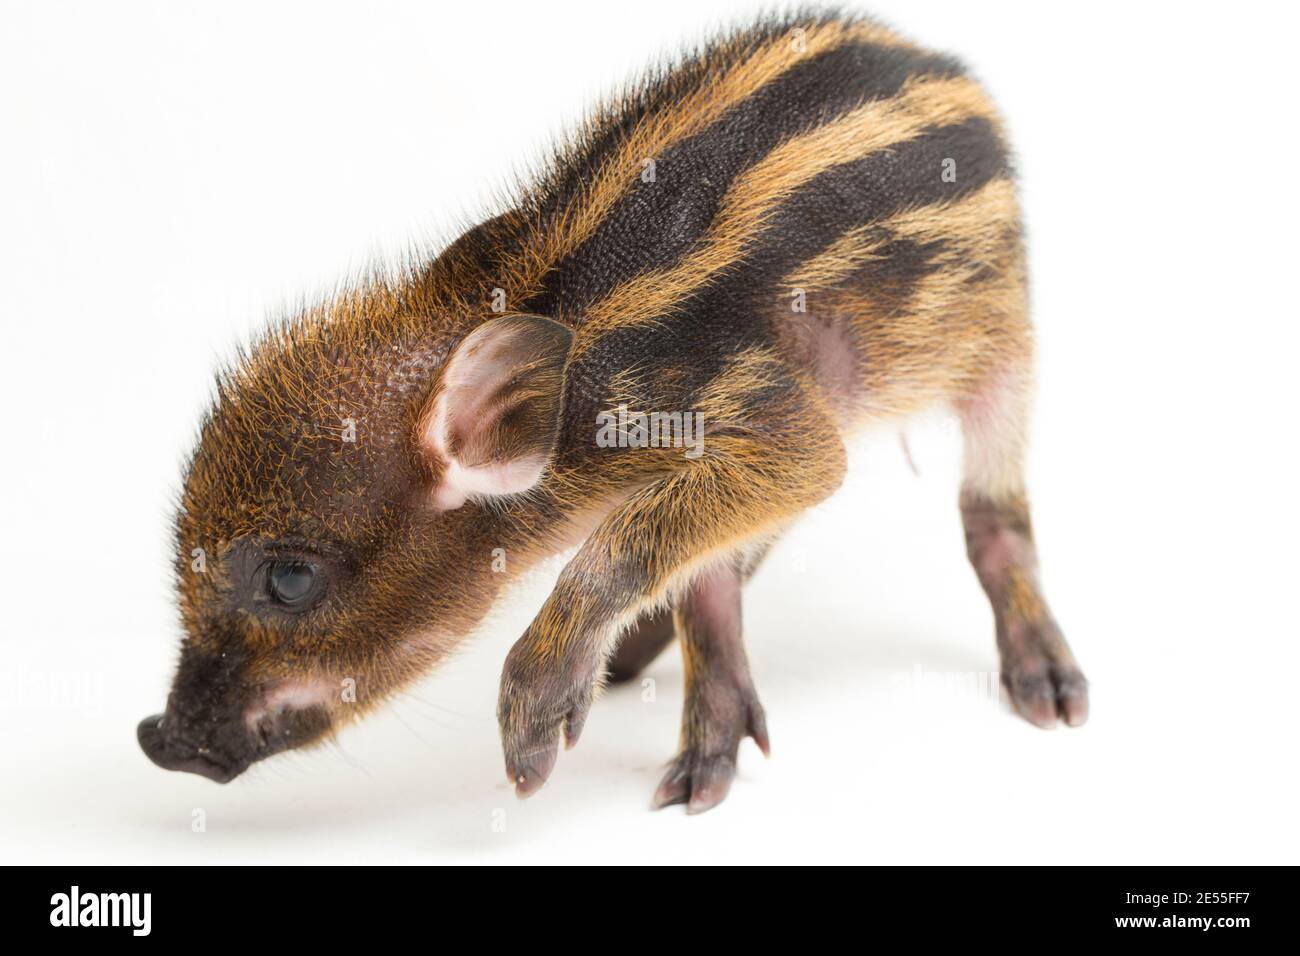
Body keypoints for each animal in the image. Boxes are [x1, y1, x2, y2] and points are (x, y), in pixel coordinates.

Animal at [138, 10, 1088, 814]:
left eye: (290, 578)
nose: (160, 740)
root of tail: (940, 62)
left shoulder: (764, 424)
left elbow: (668, 528)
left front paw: (531, 756)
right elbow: (708, 567)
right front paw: (682, 775)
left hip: (1004, 339)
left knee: (992, 512)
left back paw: (1051, 694)